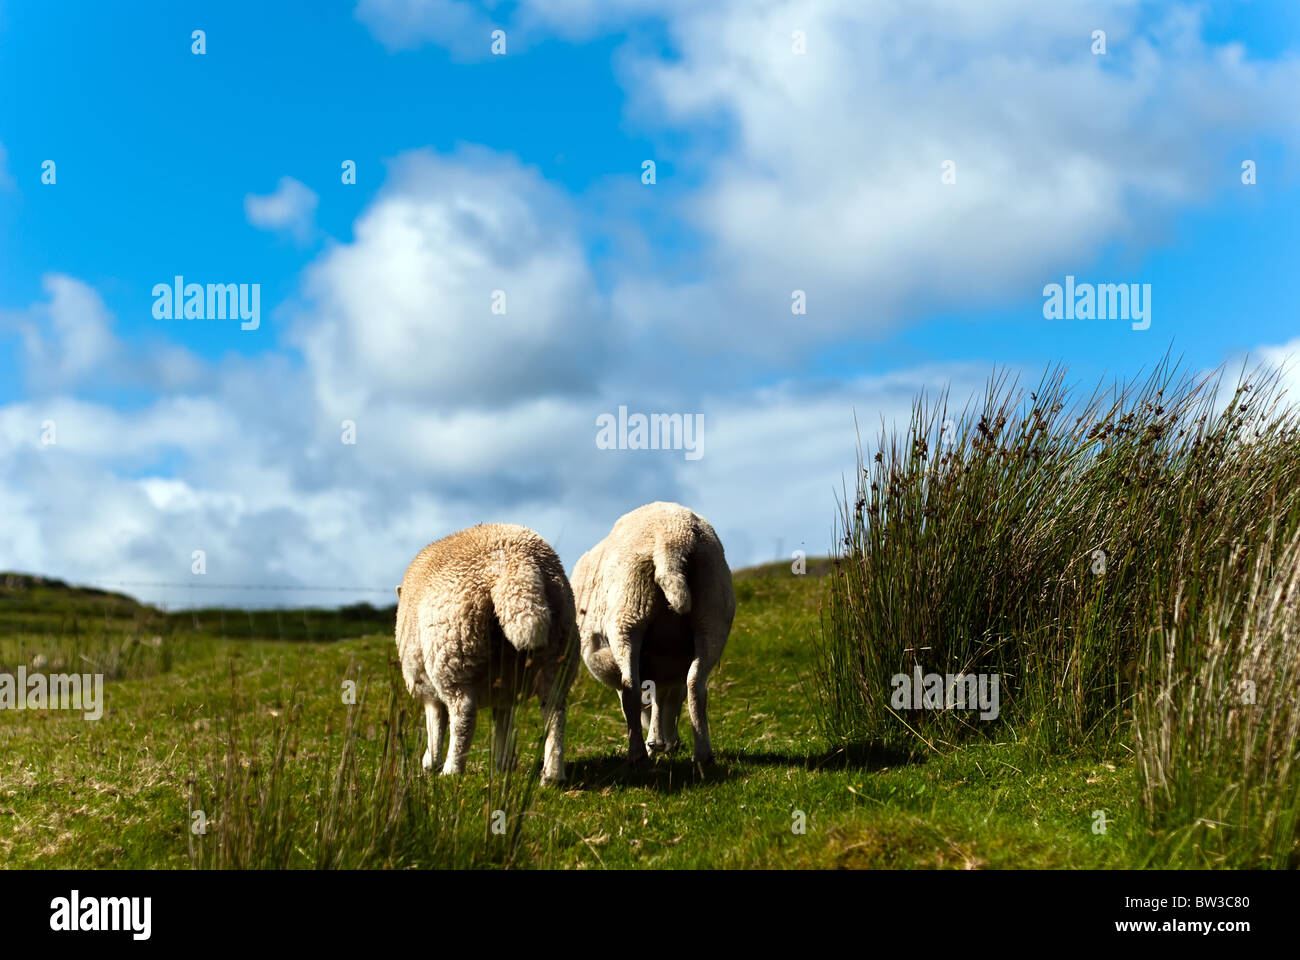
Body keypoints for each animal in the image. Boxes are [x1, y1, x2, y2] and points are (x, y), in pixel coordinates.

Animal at [395, 523, 578, 783]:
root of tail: (514, 566)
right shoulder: (505, 691)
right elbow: (503, 722)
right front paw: (504, 764)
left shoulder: (428, 691)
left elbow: (435, 724)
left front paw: (429, 763)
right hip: (559, 649)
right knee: (554, 711)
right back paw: (552, 776)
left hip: (453, 655)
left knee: (463, 715)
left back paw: (451, 770)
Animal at [572, 501, 735, 764]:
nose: (672, 745)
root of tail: (672, 542)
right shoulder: (667, 670)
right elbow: (664, 699)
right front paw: (660, 741)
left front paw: (655, 743)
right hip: (713, 613)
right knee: (695, 684)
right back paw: (702, 754)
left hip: (629, 615)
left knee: (631, 686)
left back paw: (637, 753)